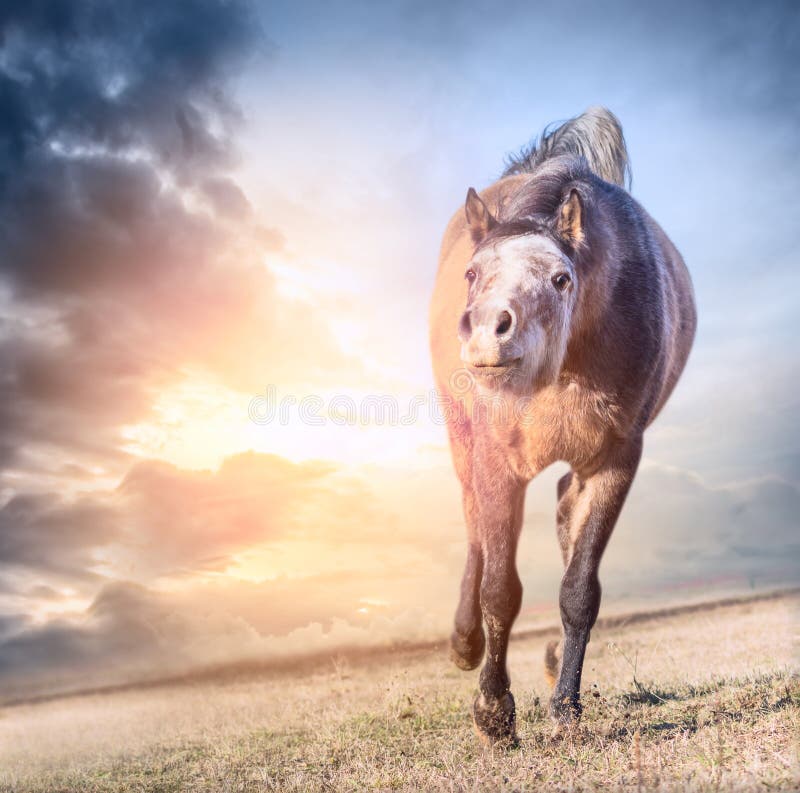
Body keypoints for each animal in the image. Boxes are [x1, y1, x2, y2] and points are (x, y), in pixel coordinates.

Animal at [428, 107, 696, 745]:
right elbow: (500, 588)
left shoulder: (614, 459)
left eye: (560, 279)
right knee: (474, 527)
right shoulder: (497, 460)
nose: (488, 332)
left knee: (562, 512)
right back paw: (464, 642)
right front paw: (494, 712)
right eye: (472, 273)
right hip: (462, 443)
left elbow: (579, 588)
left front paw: (566, 708)